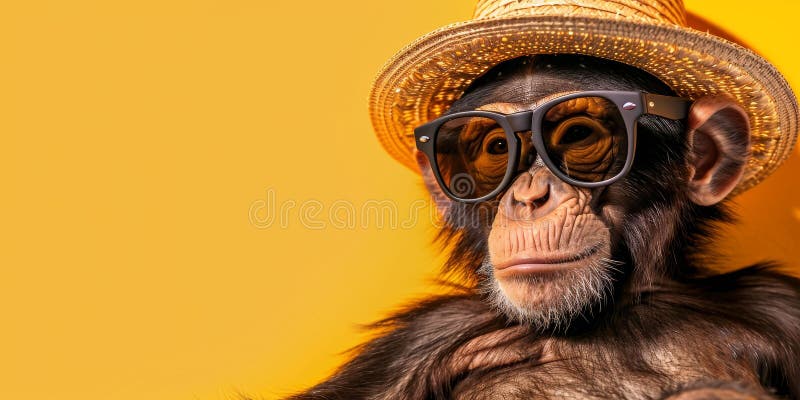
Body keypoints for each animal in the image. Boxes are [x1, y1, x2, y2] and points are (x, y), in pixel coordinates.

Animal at [280, 54, 800, 400]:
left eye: (578, 135)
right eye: (495, 147)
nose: (528, 198)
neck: (603, 315)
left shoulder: (776, 306)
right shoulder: (416, 345)